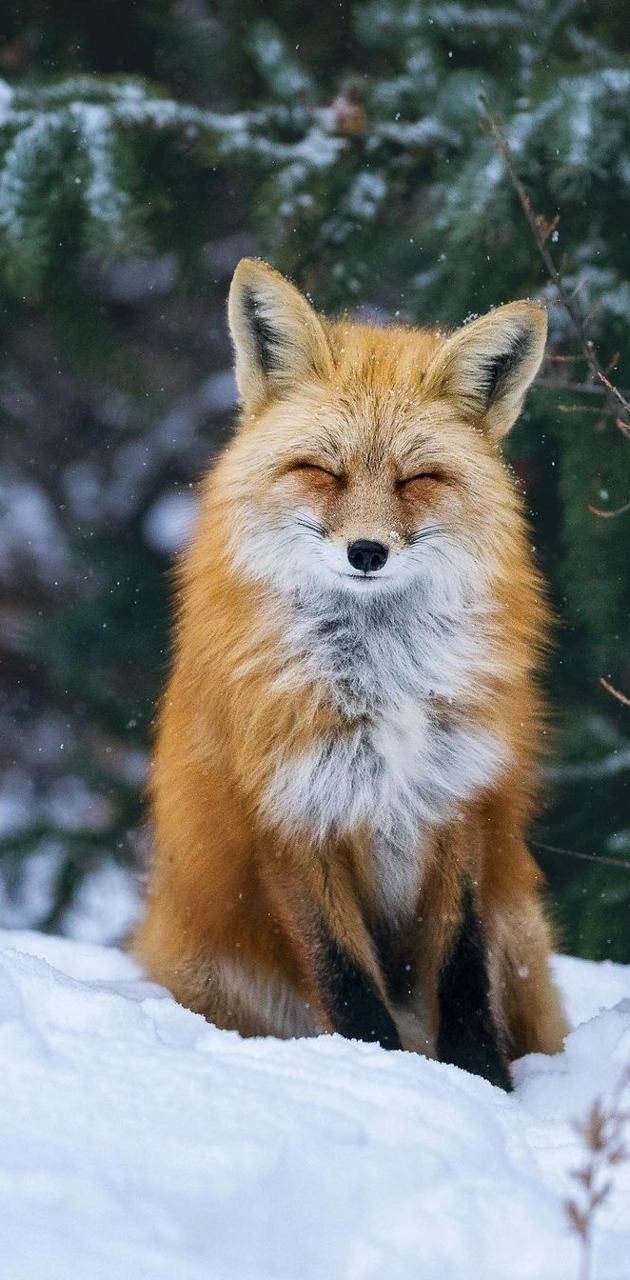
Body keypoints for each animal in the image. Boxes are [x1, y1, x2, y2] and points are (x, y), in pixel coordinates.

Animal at [134, 257, 569, 1089]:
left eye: (416, 479)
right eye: (321, 471)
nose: (366, 552)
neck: (381, 682)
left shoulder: (456, 803)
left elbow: (460, 975)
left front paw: (480, 1086)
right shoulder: (291, 817)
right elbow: (347, 982)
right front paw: (383, 1079)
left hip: (525, 932)